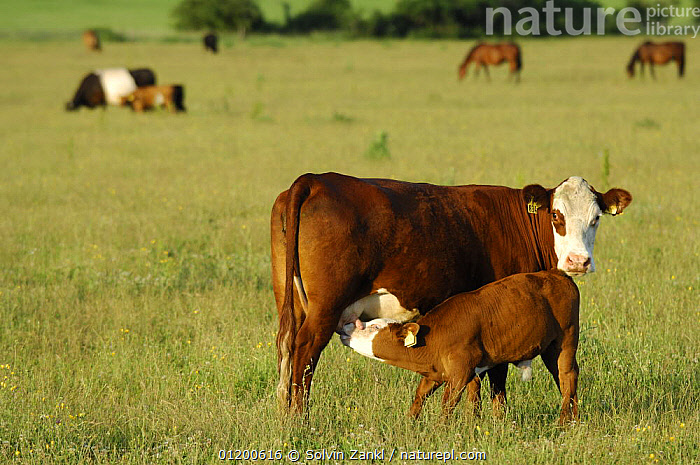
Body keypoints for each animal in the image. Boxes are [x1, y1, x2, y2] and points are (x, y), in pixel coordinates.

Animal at [340, 269, 580, 425]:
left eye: (374, 326)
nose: (346, 326)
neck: (434, 338)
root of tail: (558, 274)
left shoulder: (460, 371)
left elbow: (448, 404)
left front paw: (439, 431)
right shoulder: (438, 371)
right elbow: (423, 395)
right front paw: (410, 423)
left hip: (566, 338)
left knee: (567, 374)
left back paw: (563, 422)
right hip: (550, 347)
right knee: (564, 377)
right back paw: (575, 419)